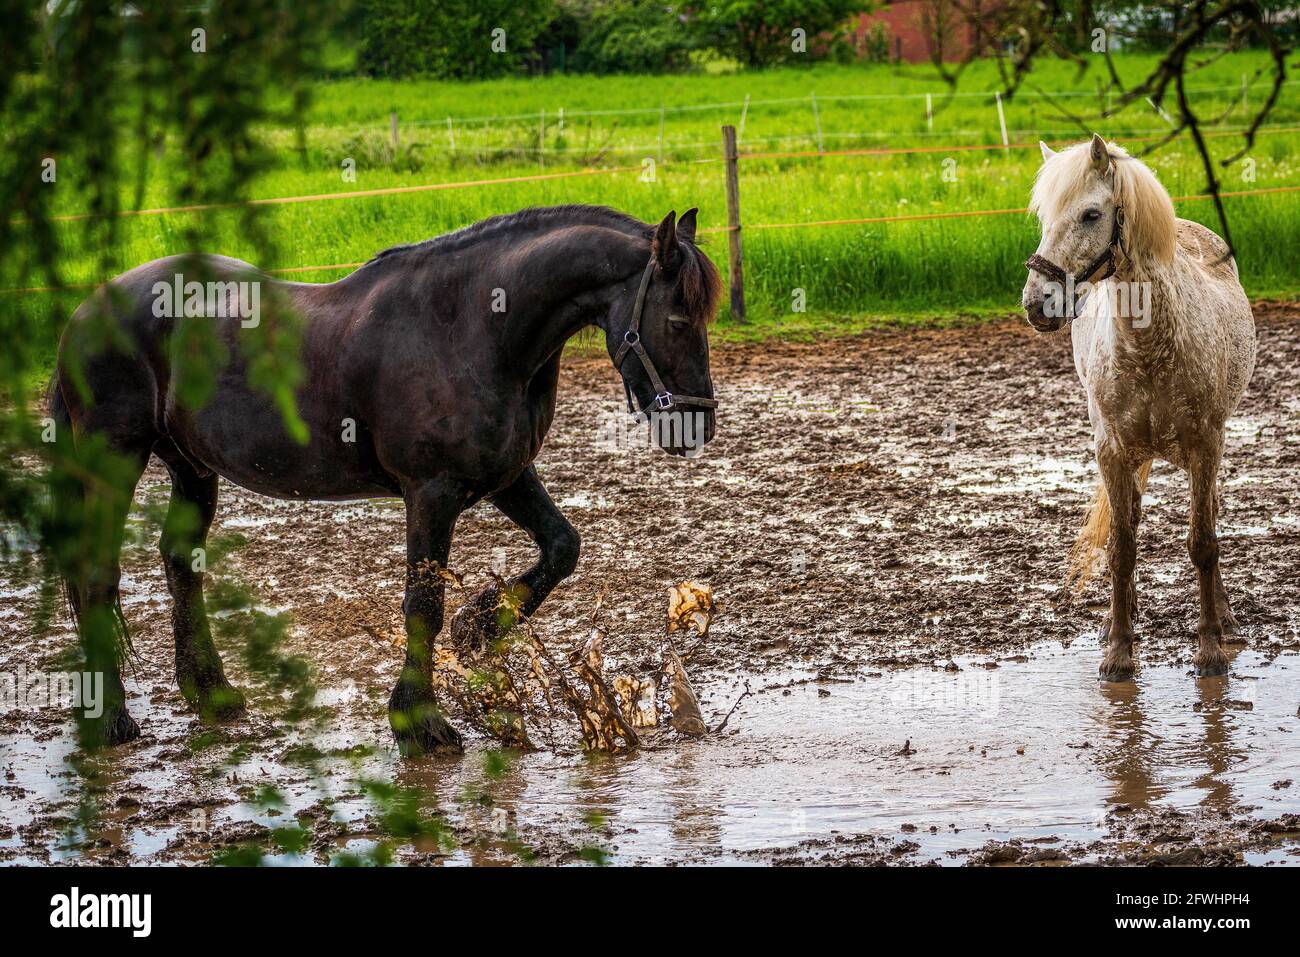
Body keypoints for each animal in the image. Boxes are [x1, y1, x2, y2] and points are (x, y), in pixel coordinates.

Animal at [49, 204, 721, 753]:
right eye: (679, 319)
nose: (697, 425)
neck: (473, 326)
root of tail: (85, 312)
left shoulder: (506, 477)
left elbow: (562, 548)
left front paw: (479, 628)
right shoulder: (431, 493)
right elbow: (422, 602)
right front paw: (420, 722)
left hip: (192, 468)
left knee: (179, 564)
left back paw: (210, 692)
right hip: (117, 457)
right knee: (98, 574)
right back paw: (110, 719)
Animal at [1021, 134, 1256, 682]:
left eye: (1090, 214)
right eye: (1044, 217)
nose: (1037, 304)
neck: (1148, 347)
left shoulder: (1205, 447)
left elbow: (1203, 542)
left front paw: (1210, 650)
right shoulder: (1112, 451)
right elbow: (1122, 548)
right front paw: (1118, 652)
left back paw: (1228, 619)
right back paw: (1114, 621)